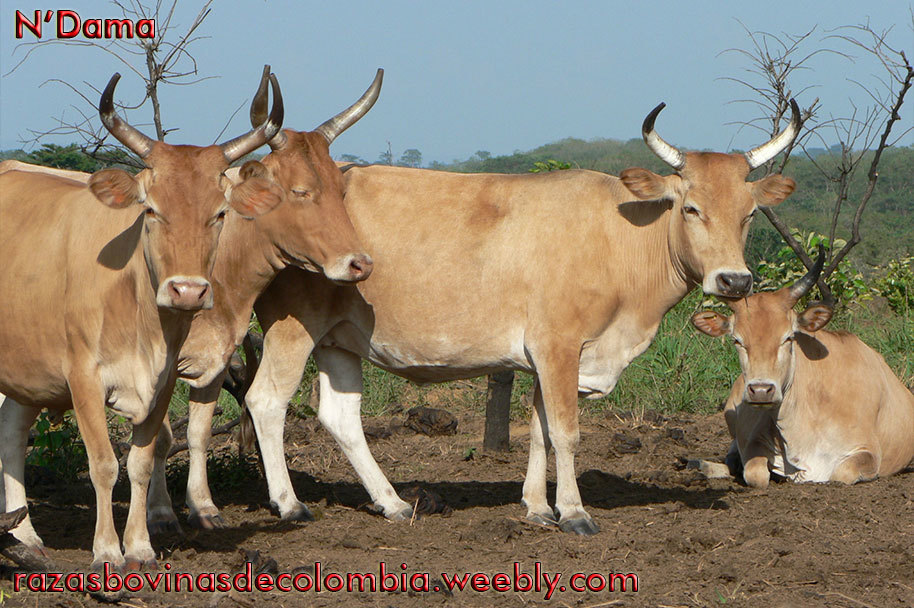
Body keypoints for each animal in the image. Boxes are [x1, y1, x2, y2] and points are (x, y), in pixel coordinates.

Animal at [0, 70, 285, 568]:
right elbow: (103, 464)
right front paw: (106, 550)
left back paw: (25, 535)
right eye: (150, 209)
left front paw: (139, 546)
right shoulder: (83, 378)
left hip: (25, 372)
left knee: (10, 435)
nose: (187, 290)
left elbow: (140, 460)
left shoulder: (164, 379)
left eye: (220, 212)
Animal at [168, 97, 802, 534]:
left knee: (340, 417)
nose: (734, 280)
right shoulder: (559, 345)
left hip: (339, 341)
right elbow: (565, 432)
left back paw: (393, 503)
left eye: (749, 212)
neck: (620, 233)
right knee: (265, 402)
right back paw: (289, 503)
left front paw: (538, 508)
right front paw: (574, 513)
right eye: (690, 207)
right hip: (292, 329)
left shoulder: (548, 357)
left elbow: (540, 431)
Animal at [690, 249, 914, 488]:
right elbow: (755, 473)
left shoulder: (867, 451)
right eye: (737, 340)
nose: (760, 391)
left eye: (788, 338)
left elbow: (841, 474)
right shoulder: (753, 440)